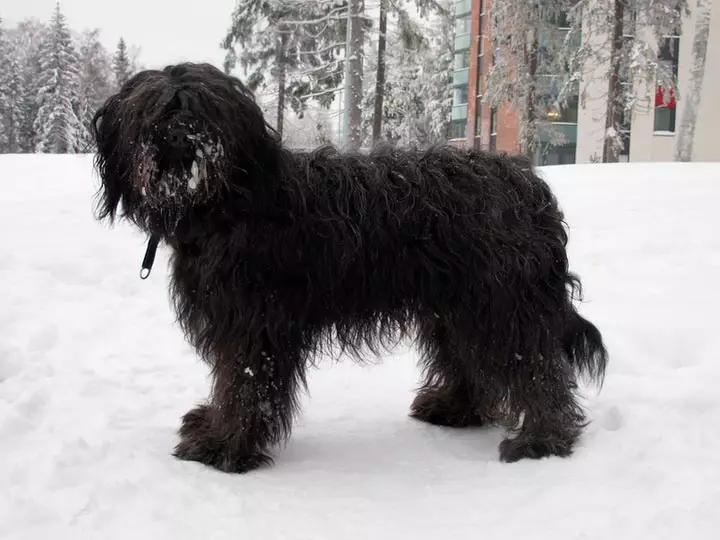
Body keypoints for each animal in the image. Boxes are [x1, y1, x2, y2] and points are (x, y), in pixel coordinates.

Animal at [91, 62, 608, 472]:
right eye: (154, 109)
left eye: (204, 108)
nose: (180, 133)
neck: (227, 206)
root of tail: (529, 188)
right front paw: (216, 429)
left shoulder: (255, 325)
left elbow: (243, 385)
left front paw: (224, 447)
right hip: (456, 306)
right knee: (471, 359)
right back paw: (453, 407)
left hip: (500, 303)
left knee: (534, 367)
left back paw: (542, 439)